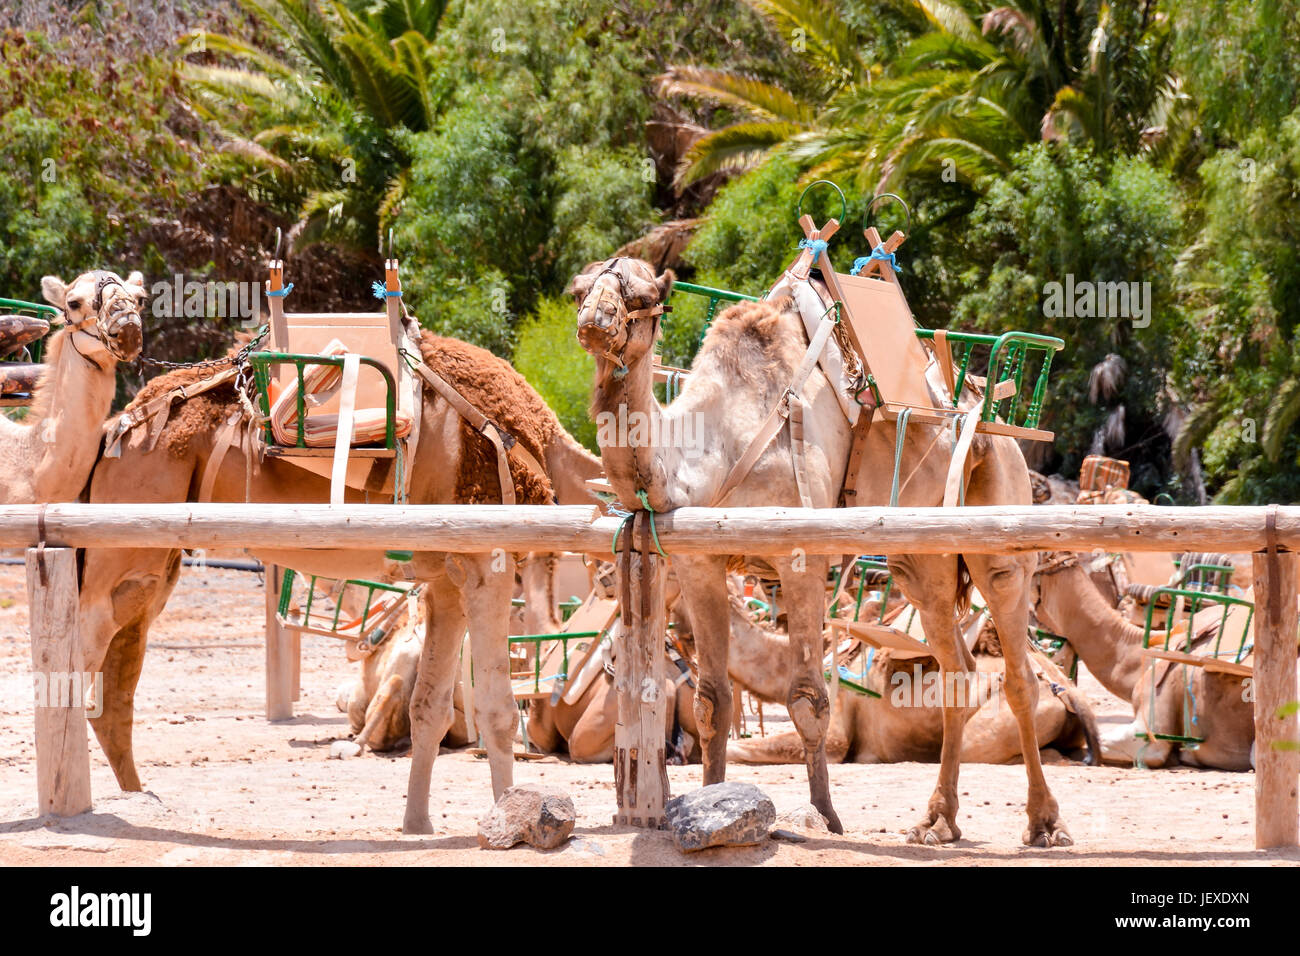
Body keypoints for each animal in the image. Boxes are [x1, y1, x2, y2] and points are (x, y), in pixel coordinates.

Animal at [76, 323, 603, 833]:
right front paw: (508, 816)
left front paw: (417, 824)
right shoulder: (486, 560)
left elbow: (428, 707)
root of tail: (116, 429)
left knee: (117, 681)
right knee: (83, 645)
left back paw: (138, 797)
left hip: (152, 565)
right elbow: (498, 710)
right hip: (120, 545)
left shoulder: (445, 579)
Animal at [573, 255, 1071, 845]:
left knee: (1018, 672)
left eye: (643, 295)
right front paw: (710, 804)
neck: (717, 447)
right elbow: (712, 701)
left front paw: (825, 817)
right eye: (579, 288)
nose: (594, 322)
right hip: (922, 561)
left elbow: (807, 699)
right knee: (957, 669)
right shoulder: (699, 562)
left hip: (1000, 526)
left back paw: (1044, 823)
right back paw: (937, 820)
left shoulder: (801, 558)